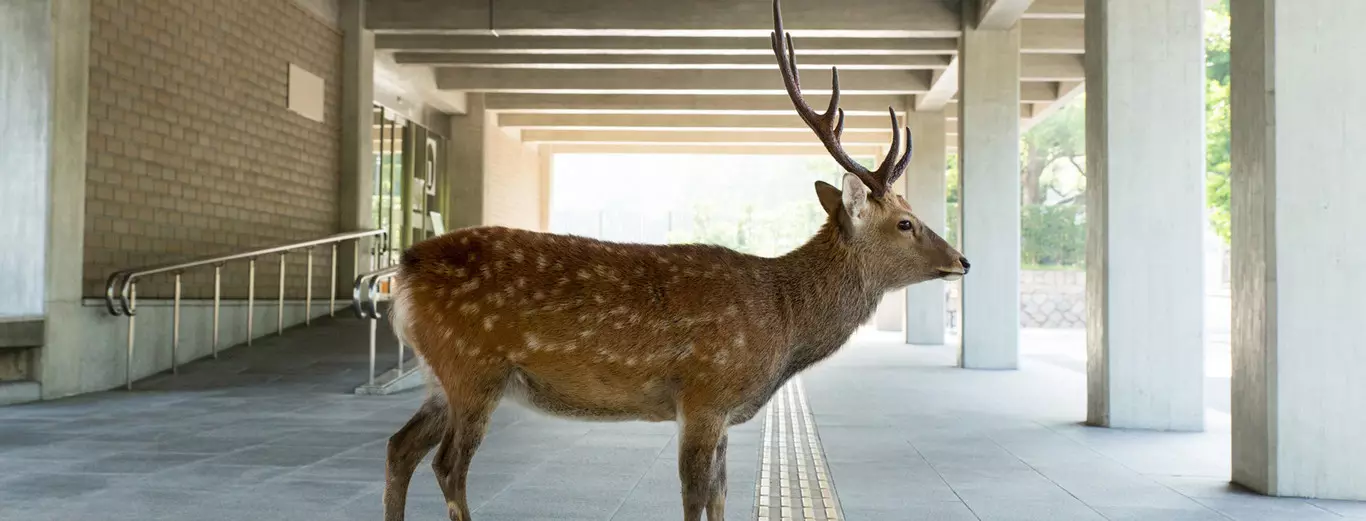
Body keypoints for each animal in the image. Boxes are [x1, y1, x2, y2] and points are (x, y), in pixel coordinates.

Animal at [379, 2, 967, 516]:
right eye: (906, 222)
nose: (963, 261)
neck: (782, 329)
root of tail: (404, 270)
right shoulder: (705, 392)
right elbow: (694, 494)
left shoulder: (723, 413)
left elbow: (721, 494)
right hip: (473, 367)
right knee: (447, 465)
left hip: (440, 375)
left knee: (398, 447)